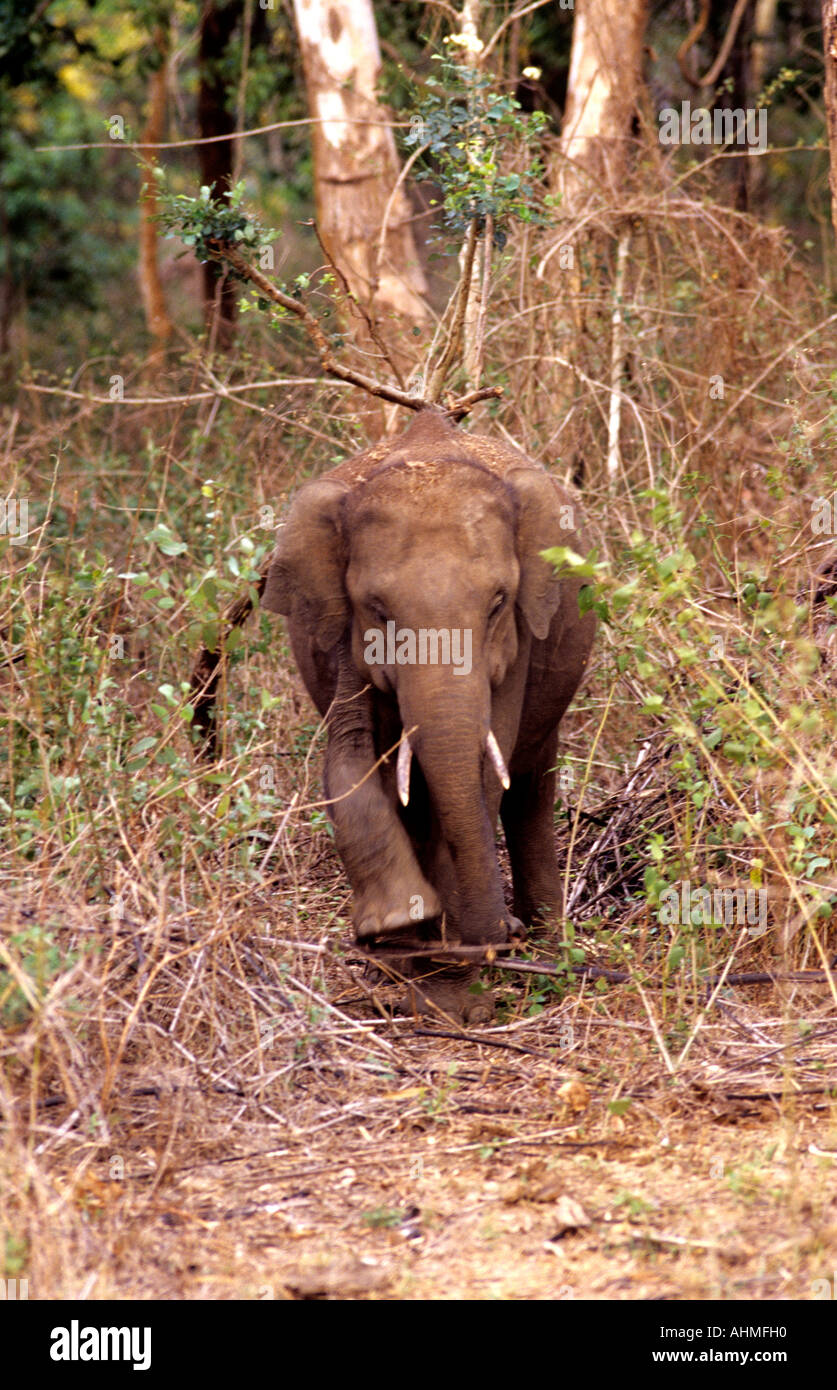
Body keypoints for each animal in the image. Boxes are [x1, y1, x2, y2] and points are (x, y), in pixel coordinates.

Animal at [263, 407, 595, 1023]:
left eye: (497, 603)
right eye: (376, 609)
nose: (499, 938)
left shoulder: (517, 642)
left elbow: (480, 775)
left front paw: (453, 1001)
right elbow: (356, 758)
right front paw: (404, 926)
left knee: (529, 786)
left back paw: (545, 952)